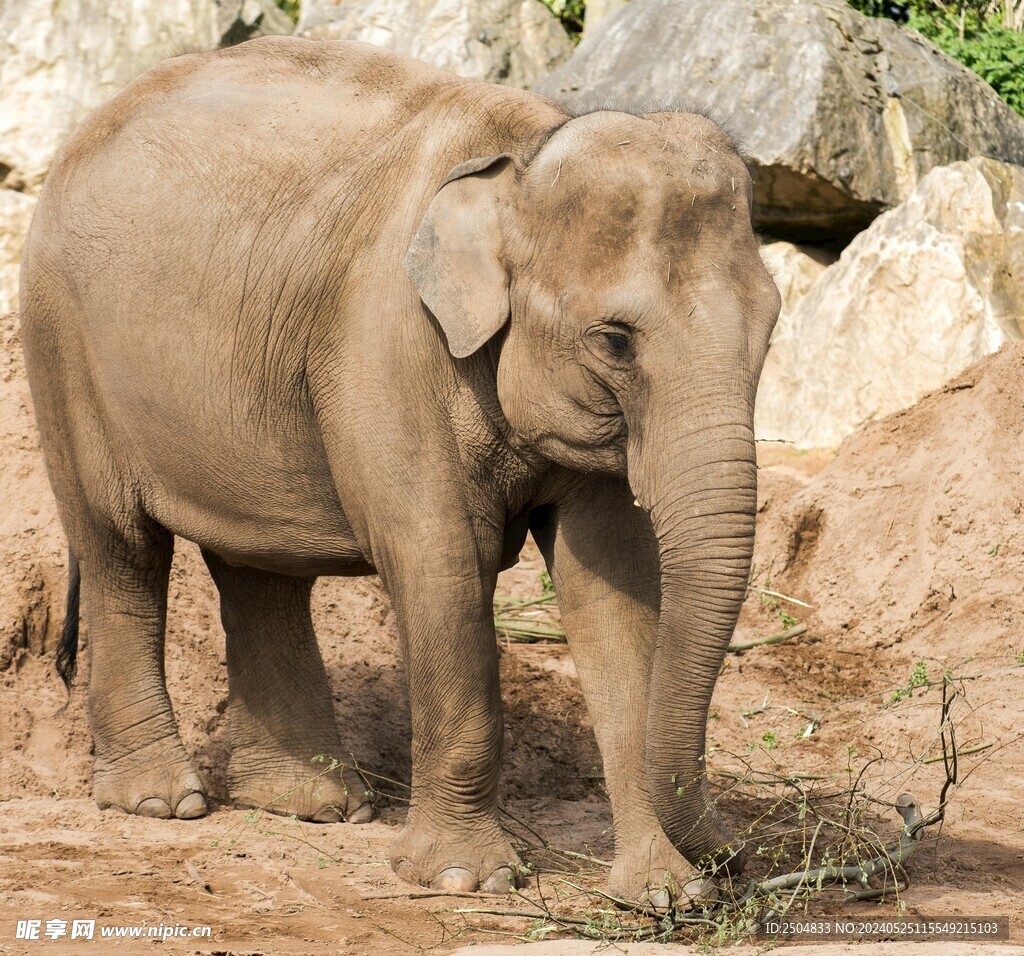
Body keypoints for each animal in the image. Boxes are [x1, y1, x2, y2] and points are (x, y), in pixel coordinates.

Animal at [20, 36, 780, 905]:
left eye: (771, 327)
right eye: (615, 340)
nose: (740, 858)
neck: (524, 154)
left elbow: (613, 590)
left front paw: (665, 896)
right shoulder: (387, 340)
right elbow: (439, 564)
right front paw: (462, 880)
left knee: (257, 566)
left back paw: (312, 805)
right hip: (62, 337)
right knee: (122, 547)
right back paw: (162, 802)